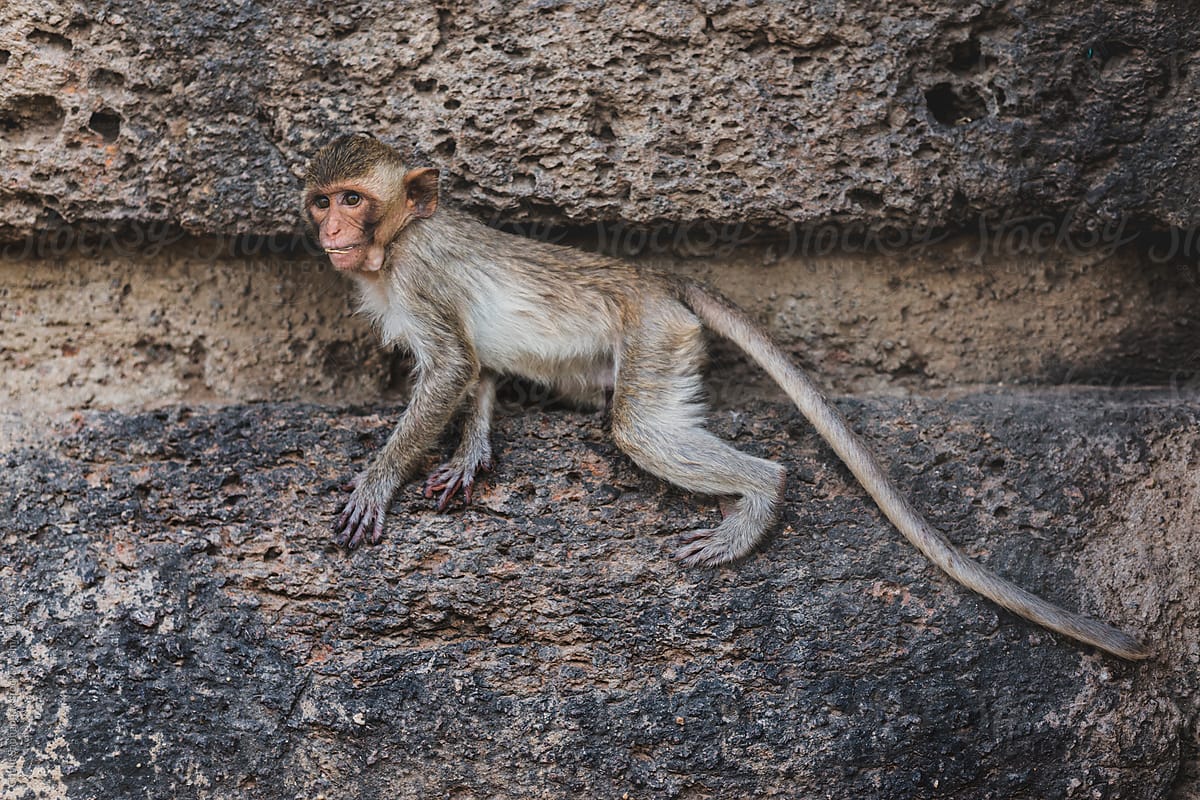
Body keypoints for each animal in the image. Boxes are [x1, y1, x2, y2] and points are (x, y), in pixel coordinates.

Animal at [302, 133, 1149, 661]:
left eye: (354, 199)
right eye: (321, 200)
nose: (330, 232)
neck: (394, 244)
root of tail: (659, 279)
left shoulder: (419, 272)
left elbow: (450, 365)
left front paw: (378, 484)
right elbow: (471, 367)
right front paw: (471, 452)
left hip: (653, 335)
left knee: (639, 427)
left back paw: (760, 496)